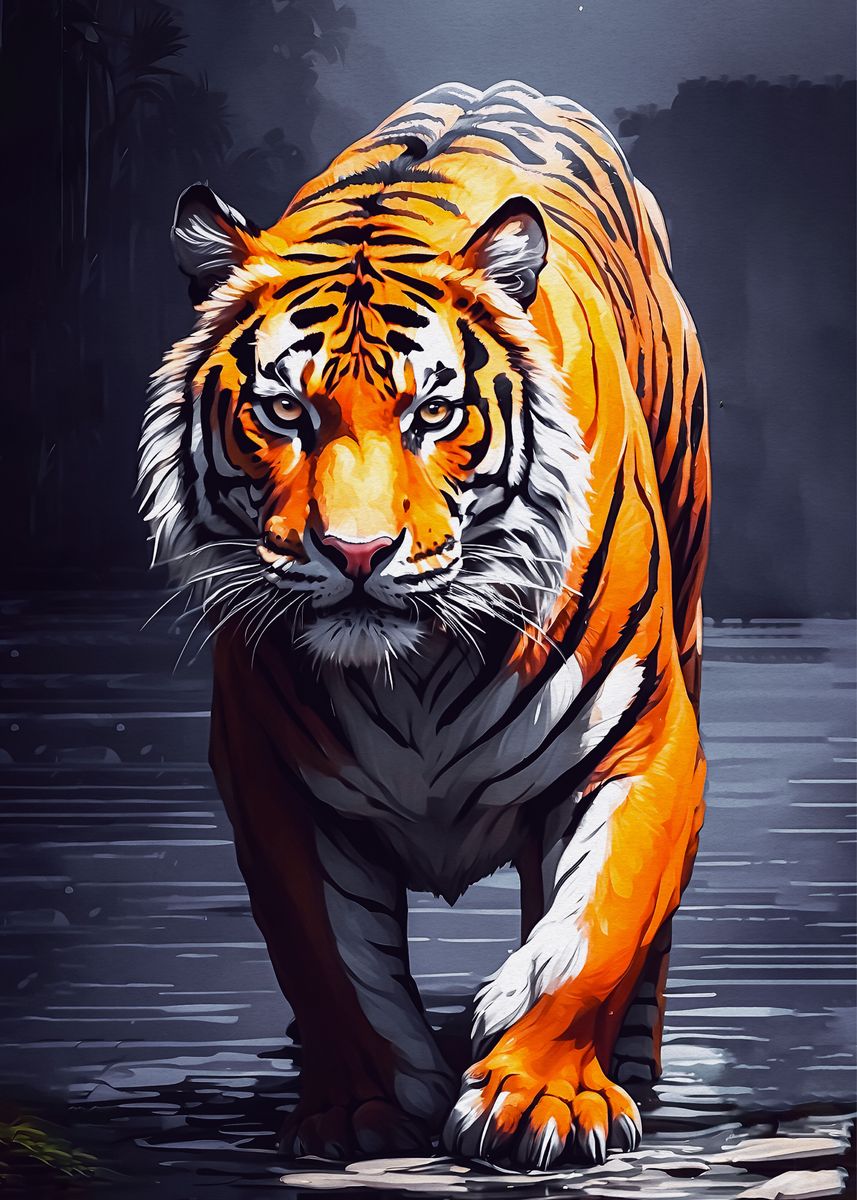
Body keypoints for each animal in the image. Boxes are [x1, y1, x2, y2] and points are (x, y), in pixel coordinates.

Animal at [138, 80, 709, 1169]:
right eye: (286, 413)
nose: (356, 554)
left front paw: (536, 1095)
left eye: (431, 415)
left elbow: (594, 930)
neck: (414, 670)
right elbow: (327, 958)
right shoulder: (273, 775)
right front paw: (362, 1111)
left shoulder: (643, 739)